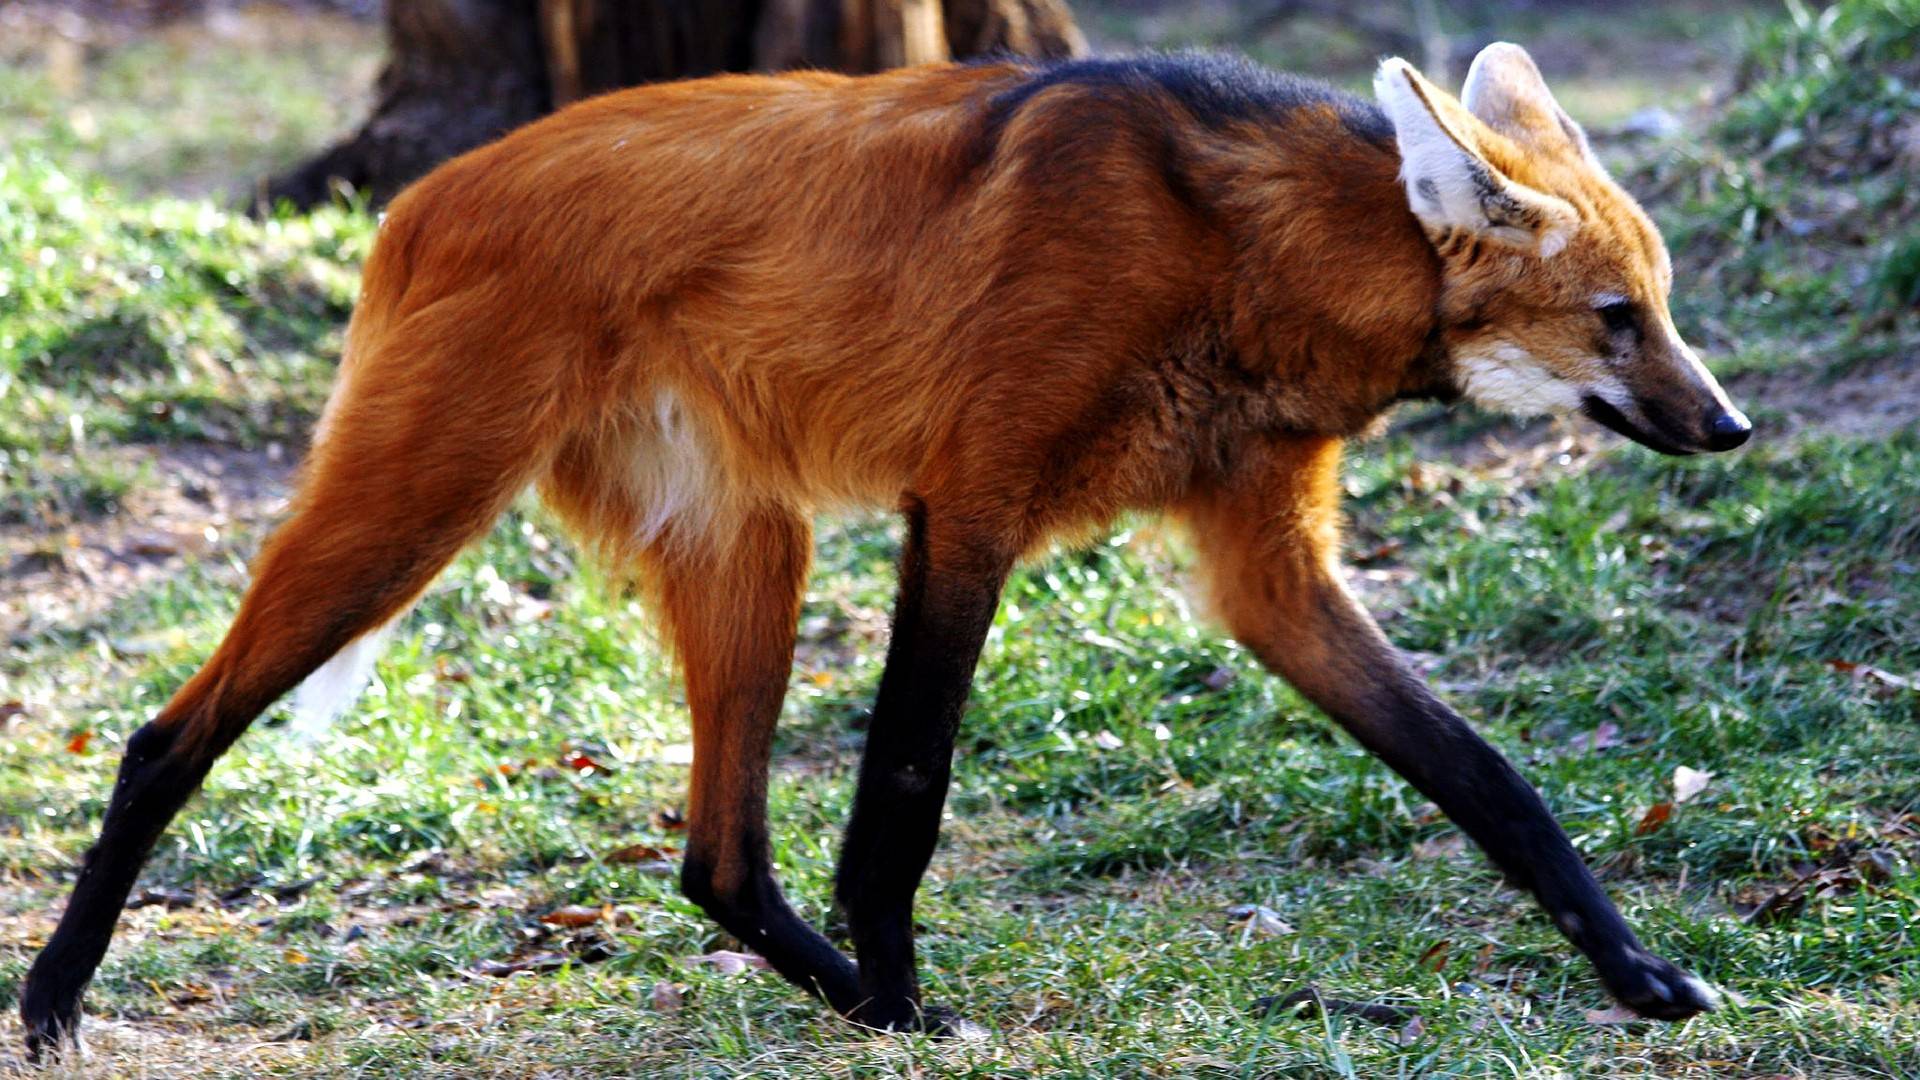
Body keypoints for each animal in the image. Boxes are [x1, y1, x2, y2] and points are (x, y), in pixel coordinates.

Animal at [21, 43, 1749, 1055]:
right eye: (1619, 316)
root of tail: (414, 205)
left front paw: (1640, 974)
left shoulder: (1263, 559)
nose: (1729, 425)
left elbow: (1482, 771)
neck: (1258, 256)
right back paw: (48, 1004)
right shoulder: (972, 498)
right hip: (419, 501)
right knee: (165, 736)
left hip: (745, 540)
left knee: (716, 854)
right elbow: (909, 782)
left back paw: (854, 1005)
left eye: (1661, 306)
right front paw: (911, 980)